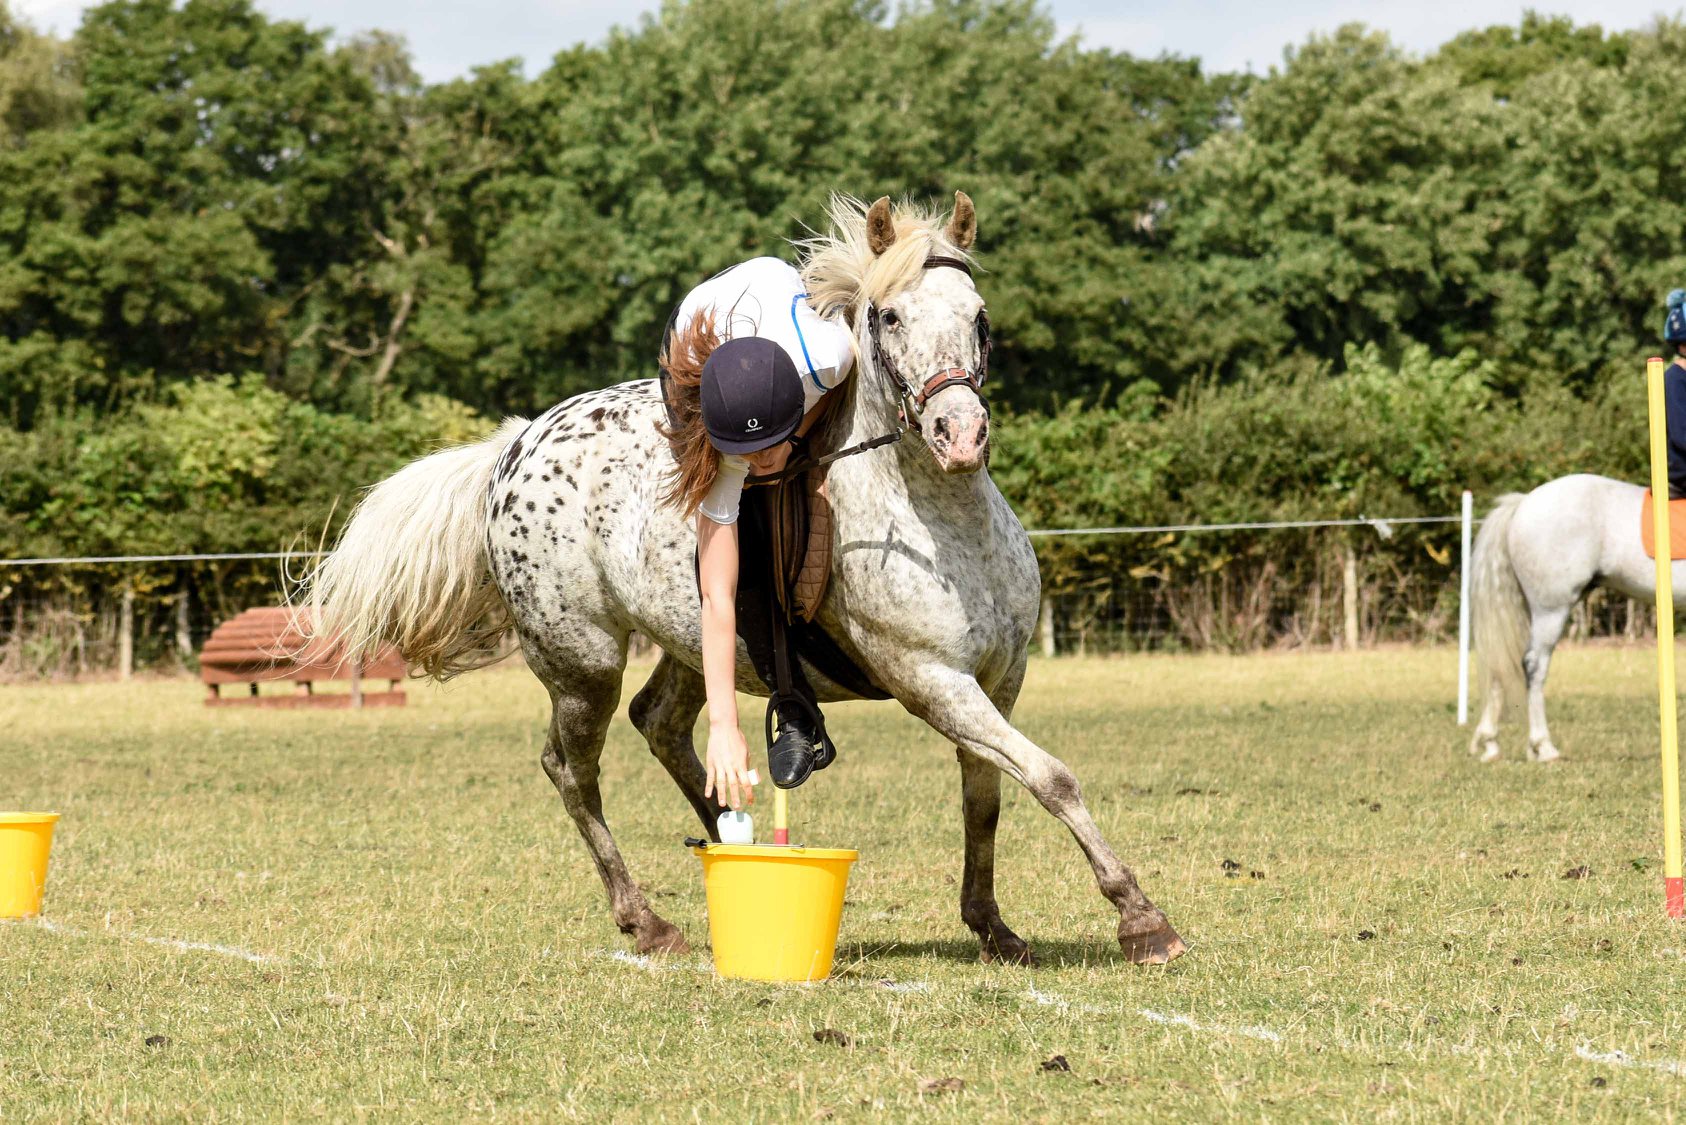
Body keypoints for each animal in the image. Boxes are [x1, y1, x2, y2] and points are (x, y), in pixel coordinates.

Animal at [304, 193, 1185, 966]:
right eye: (889, 316)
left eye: (979, 316)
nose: (958, 434)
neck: (942, 514)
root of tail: (517, 444)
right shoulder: (933, 680)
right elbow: (1053, 778)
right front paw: (1142, 919)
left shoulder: (999, 678)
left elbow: (990, 795)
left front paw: (994, 927)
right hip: (579, 663)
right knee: (571, 767)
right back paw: (647, 919)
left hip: (697, 642)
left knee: (659, 721)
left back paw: (730, 830)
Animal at [1469, 473, 1682, 762]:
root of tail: (1523, 502)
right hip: (1551, 610)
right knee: (1534, 665)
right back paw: (1543, 747)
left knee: (1501, 665)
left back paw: (1492, 742)